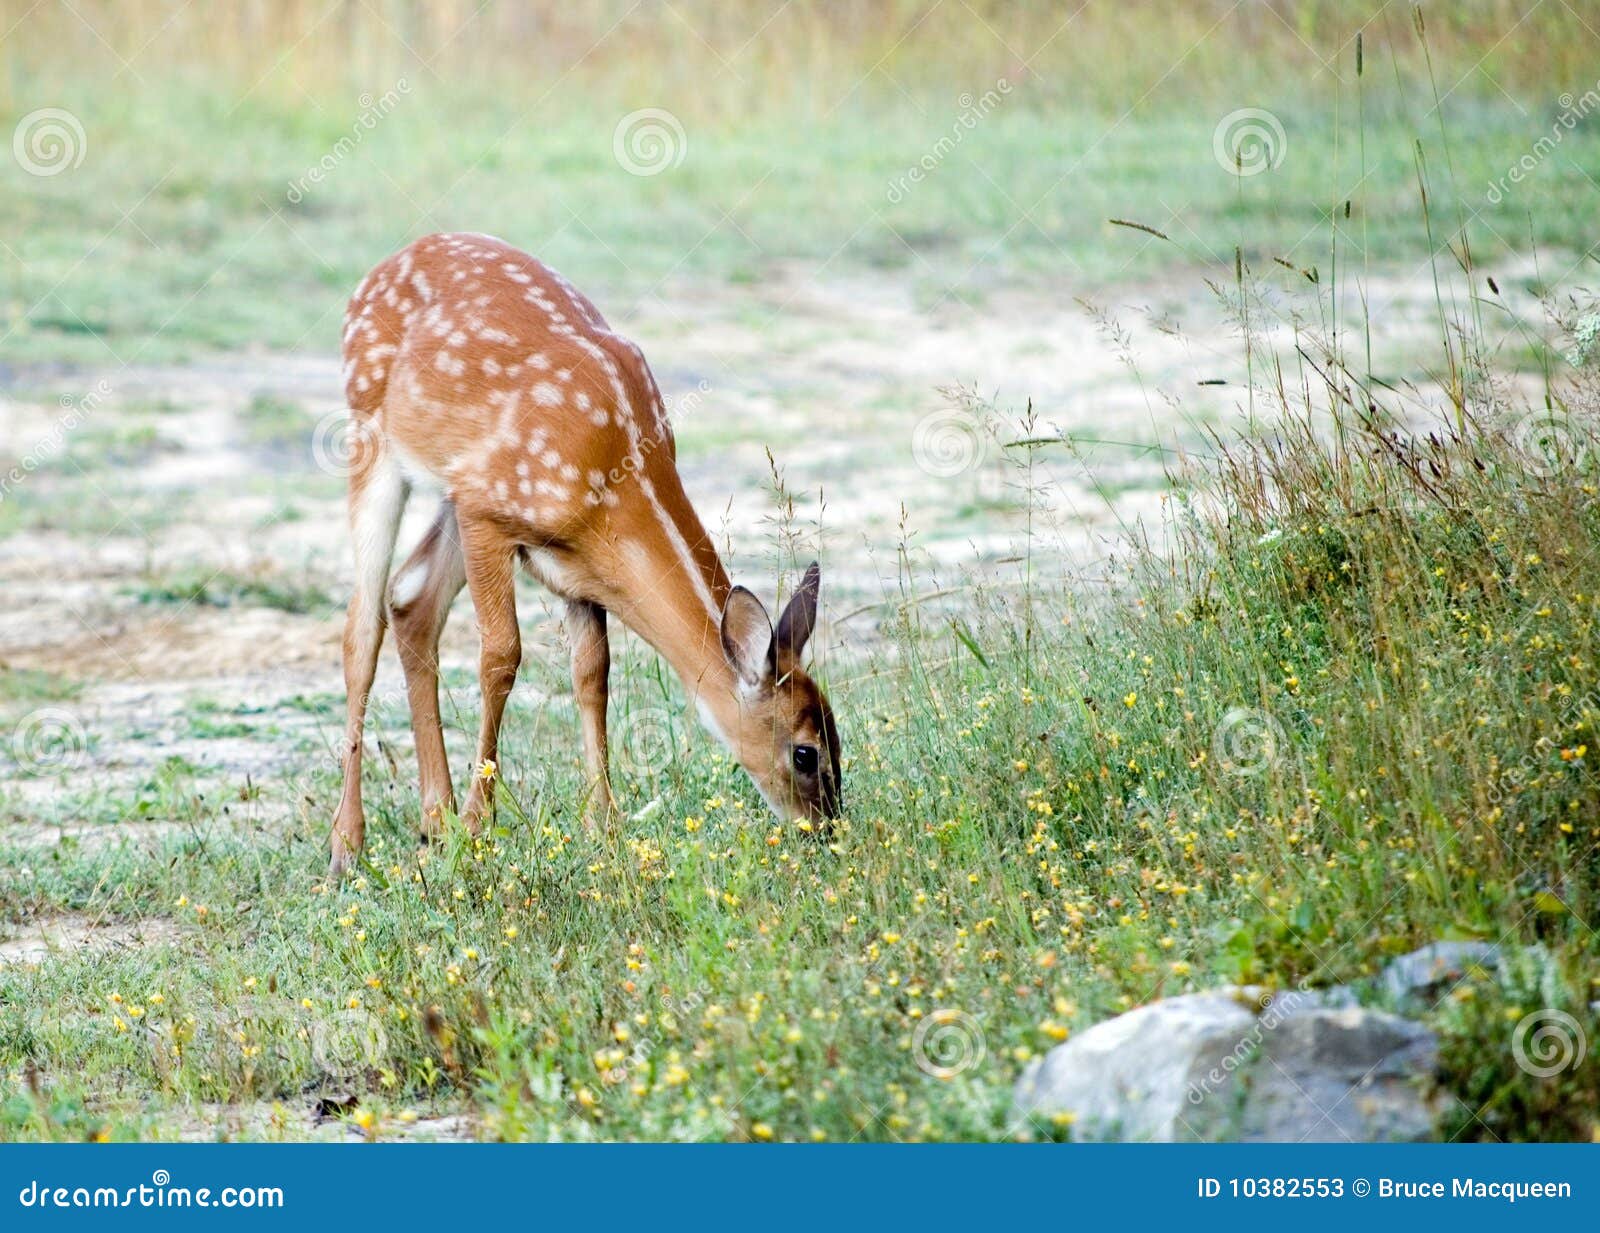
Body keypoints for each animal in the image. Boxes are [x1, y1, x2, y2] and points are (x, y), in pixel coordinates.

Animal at [327, 233, 842, 877]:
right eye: (805, 753)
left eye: (837, 735)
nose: (827, 829)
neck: (617, 467)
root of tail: (389, 262)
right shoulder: (488, 515)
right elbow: (502, 657)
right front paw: (478, 826)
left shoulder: (577, 567)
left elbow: (593, 674)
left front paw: (605, 828)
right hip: (371, 437)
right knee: (361, 626)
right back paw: (348, 845)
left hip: (450, 488)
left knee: (411, 600)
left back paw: (433, 824)